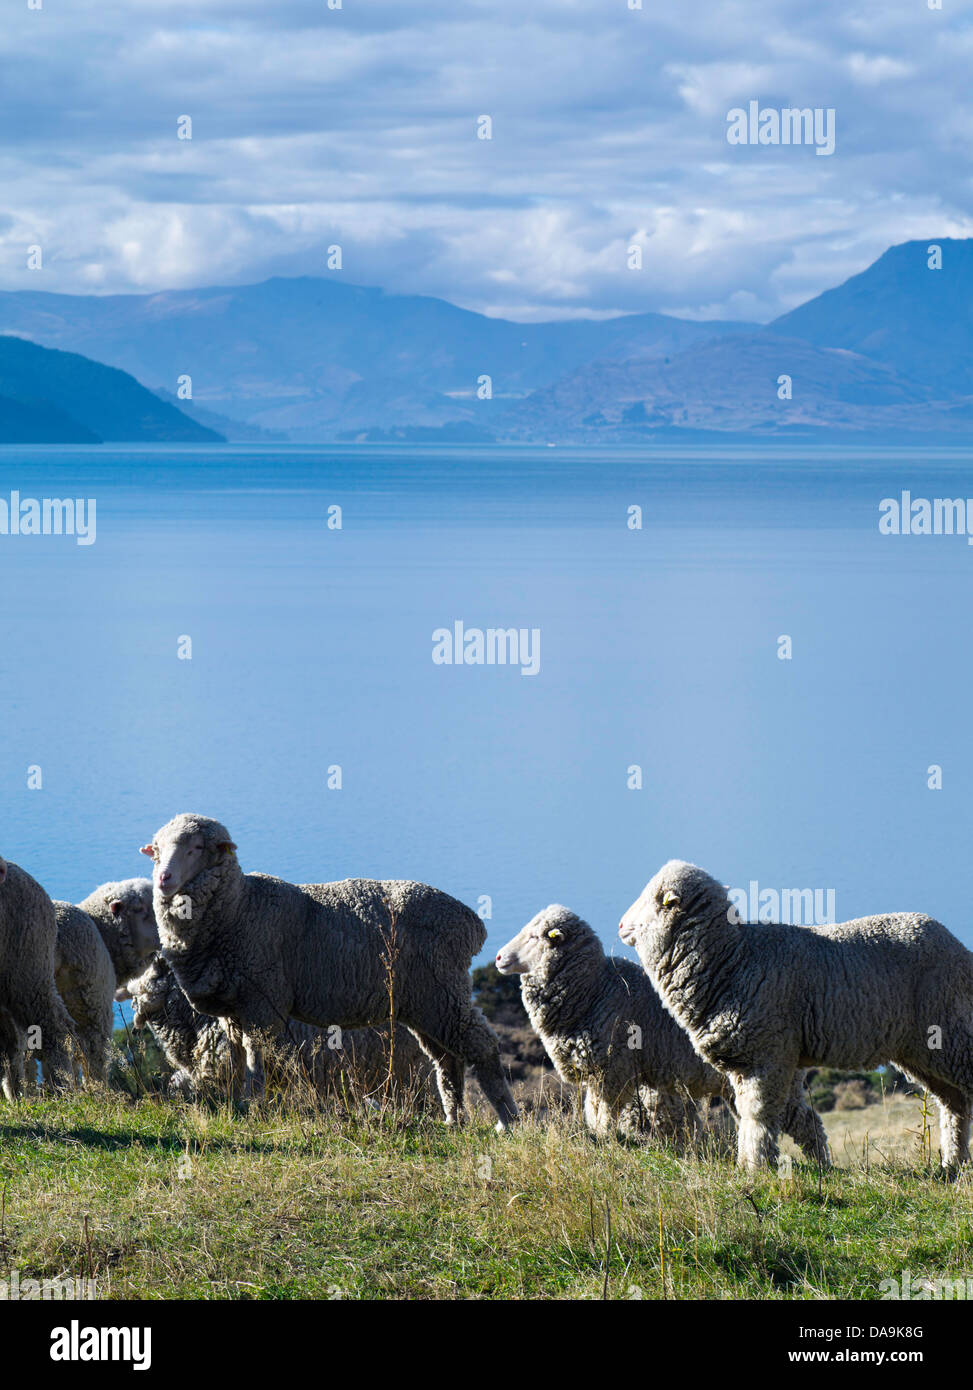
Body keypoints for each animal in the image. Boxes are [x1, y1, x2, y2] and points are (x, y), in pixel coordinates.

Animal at [141, 813, 518, 1127]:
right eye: (157, 850)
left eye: (196, 848)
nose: (163, 878)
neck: (238, 907)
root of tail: (470, 922)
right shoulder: (232, 1008)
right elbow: (235, 1057)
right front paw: (234, 1105)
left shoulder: (263, 1002)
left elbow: (256, 1057)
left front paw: (254, 1105)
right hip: (425, 1003)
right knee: (447, 1058)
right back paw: (454, 1120)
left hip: (443, 990)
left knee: (481, 1046)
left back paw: (507, 1120)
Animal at [497, 904, 827, 1161]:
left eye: (534, 936)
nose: (498, 958)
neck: (594, 989)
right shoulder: (598, 1073)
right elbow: (594, 1112)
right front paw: (598, 1136)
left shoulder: (614, 1070)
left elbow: (604, 1114)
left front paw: (604, 1139)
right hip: (736, 1086)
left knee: (808, 1123)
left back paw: (820, 1166)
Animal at [620, 859, 973, 1174]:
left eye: (651, 900)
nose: (621, 925)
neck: (732, 959)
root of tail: (959, 948)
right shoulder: (752, 1062)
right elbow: (752, 1116)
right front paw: (749, 1163)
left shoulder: (767, 1056)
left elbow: (758, 1116)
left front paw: (756, 1167)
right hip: (922, 1050)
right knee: (954, 1103)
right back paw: (953, 1164)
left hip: (949, 1030)